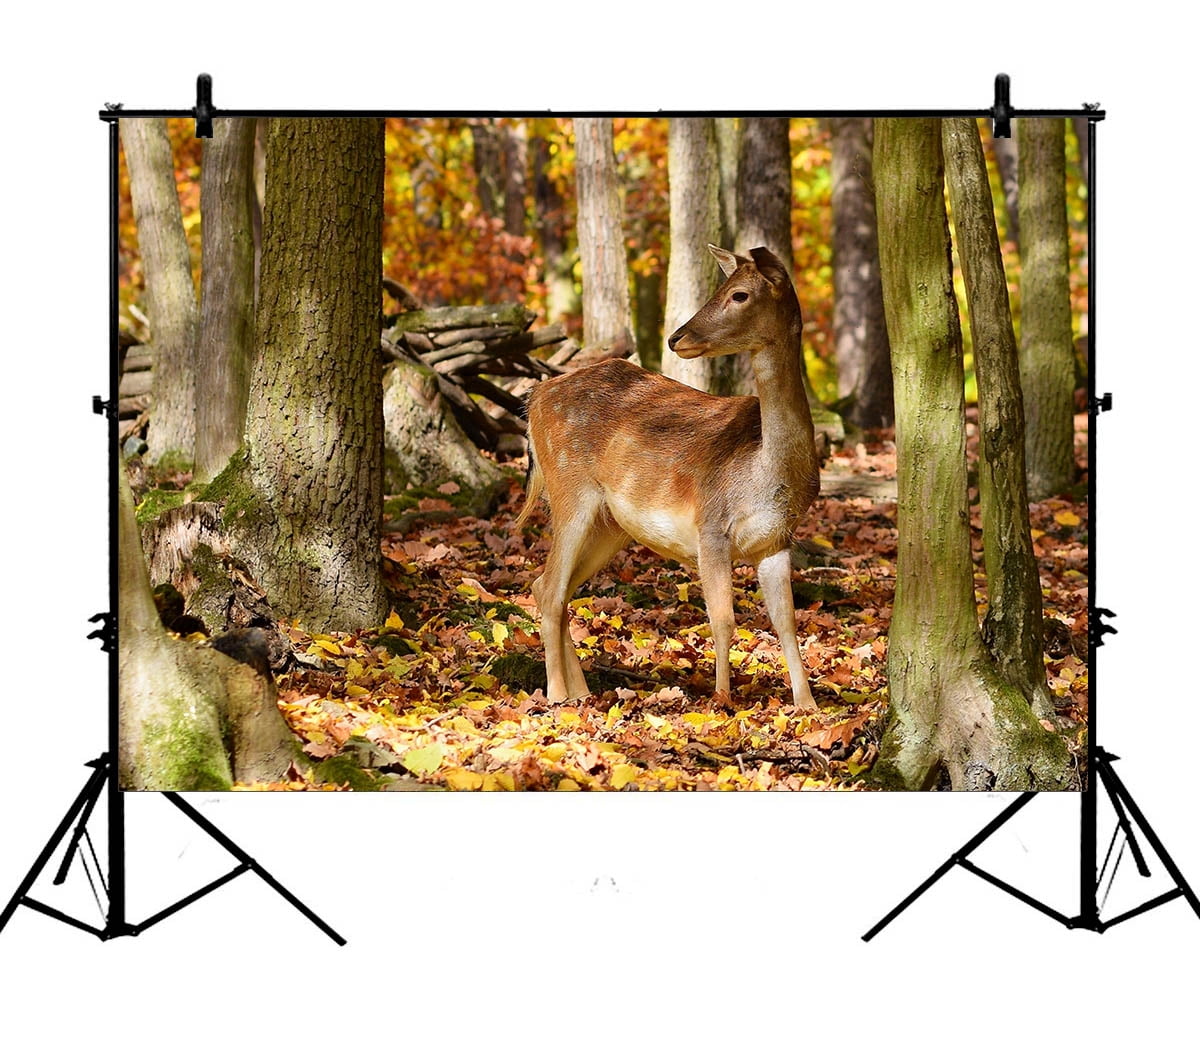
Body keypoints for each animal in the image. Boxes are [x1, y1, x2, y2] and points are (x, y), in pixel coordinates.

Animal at [515, 245, 820, 711]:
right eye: (724, 288)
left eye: (739, 294)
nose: (676, 337)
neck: (765, 470)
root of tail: (534, 399)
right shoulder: (711, 524)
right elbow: (723, 619)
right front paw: (721, 701)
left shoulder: (776, 540)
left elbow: (786, 621)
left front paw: (808, 706)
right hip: (570, 489)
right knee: (549, 590)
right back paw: (556, 696)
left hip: (610, 525)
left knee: (549, 587)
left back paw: (582, 692)